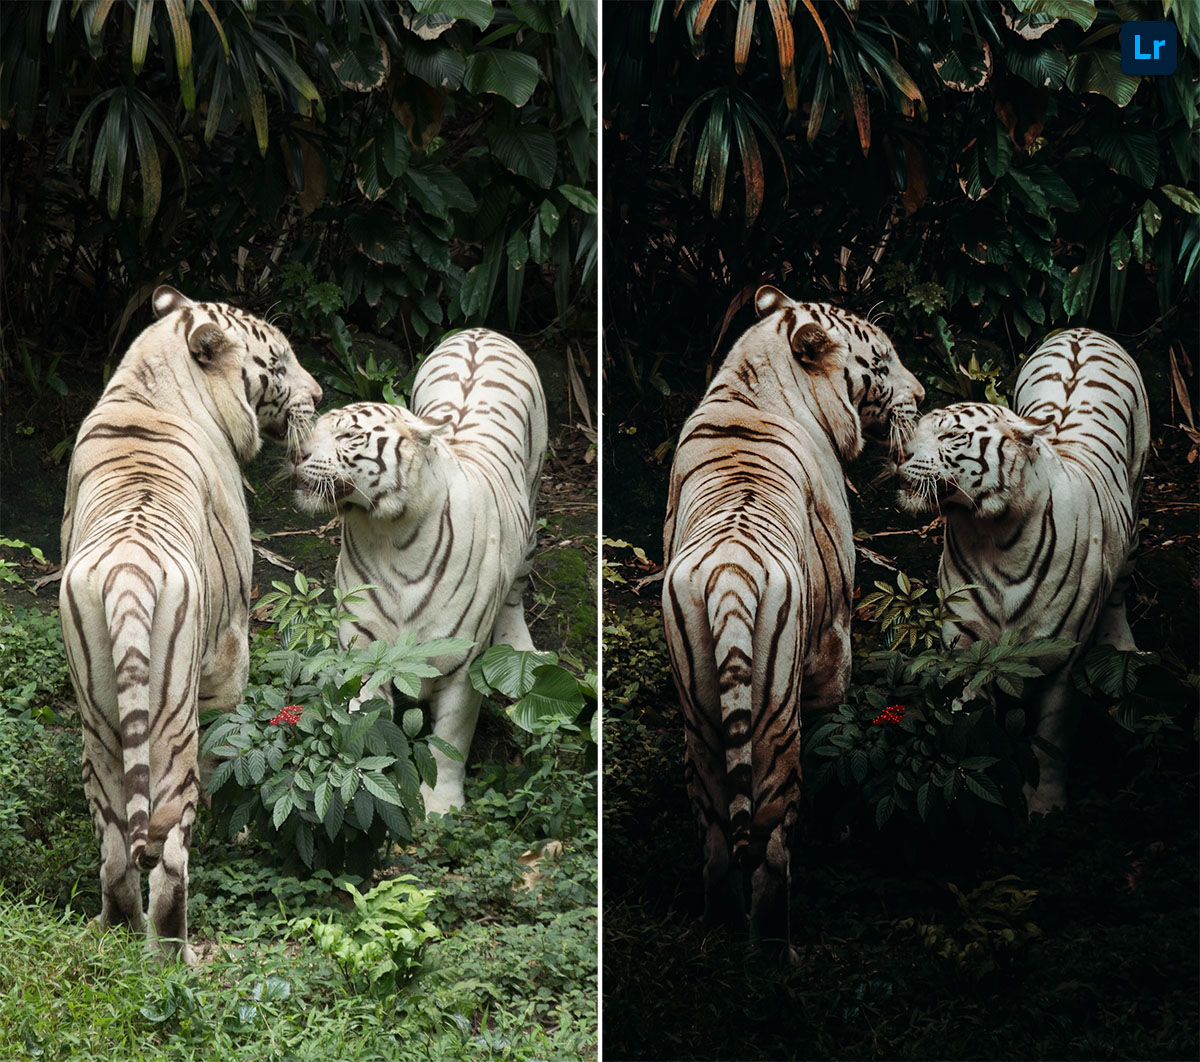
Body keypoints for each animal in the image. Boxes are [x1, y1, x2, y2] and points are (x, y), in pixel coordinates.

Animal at [59, 285, 322, 962]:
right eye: (278, 363)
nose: (317, 397)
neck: (150, 380)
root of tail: (128, 579)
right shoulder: (230, 650)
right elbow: (229, 747)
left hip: (100, 725)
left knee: (116, 854)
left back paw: (111, 935)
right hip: (171, 725)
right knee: (169, 858)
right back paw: (179, 954)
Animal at [292, 327, 548, 815]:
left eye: (348, 435)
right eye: (312, 427)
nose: (295, 452)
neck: (390, 533)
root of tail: (480, 331)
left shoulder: (463, 664)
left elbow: (451, 740)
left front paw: (442, 806)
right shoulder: (364, 649)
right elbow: (364, 722)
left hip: (530, 510)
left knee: (516, 591)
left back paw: (520, 645)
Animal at [662, 284, 924, 956]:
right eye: (880, 364)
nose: (921, 396)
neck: (753, 381)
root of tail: (730, 581)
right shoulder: (833, 639)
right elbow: (836, 723)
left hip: (702, 723)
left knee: (717, 849)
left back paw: (722, 936)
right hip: (774, 727)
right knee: (771, 853)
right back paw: (781, 951)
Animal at [896, 327, 1150, 815]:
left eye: (951, 434)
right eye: (915, 428)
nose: (897, 452)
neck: (992, 535)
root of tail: (1083, 330)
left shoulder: (1063, 661)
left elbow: (1052, 739)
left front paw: (1046, 805)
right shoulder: (966, 647)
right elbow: (971, 727)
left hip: (1135, 492)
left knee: (1119, 587)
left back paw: (1122, 643)